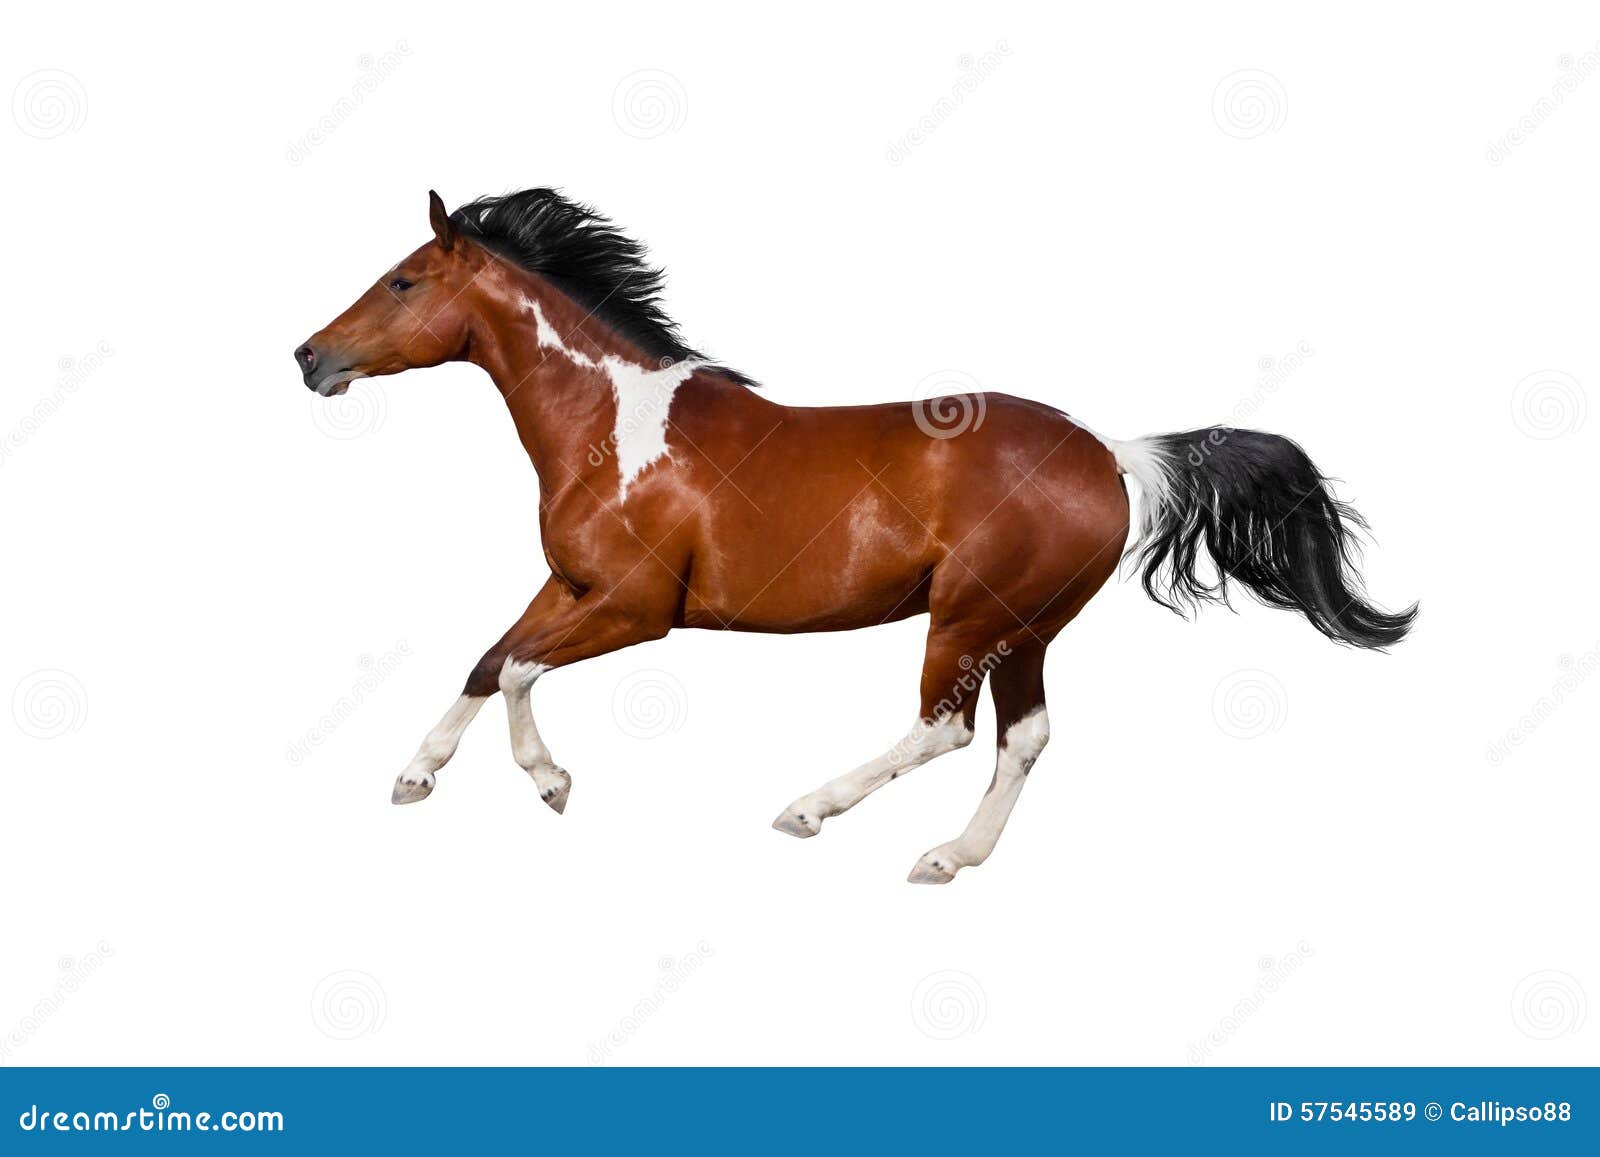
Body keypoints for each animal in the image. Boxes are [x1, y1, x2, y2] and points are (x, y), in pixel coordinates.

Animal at [294, 188, 1416, 884]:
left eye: (401, 281)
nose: (308, 356)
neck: (611, 426)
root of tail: (1111, 452)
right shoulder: (571, 586)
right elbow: (489, 658)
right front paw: (415, 776)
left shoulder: (637, 608)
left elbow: (521, 667)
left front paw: (551, 782)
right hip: (1024, 627)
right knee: (1024, 736)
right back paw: (948, 858)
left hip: (969, 615)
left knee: (946, 728)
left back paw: (808, 808)